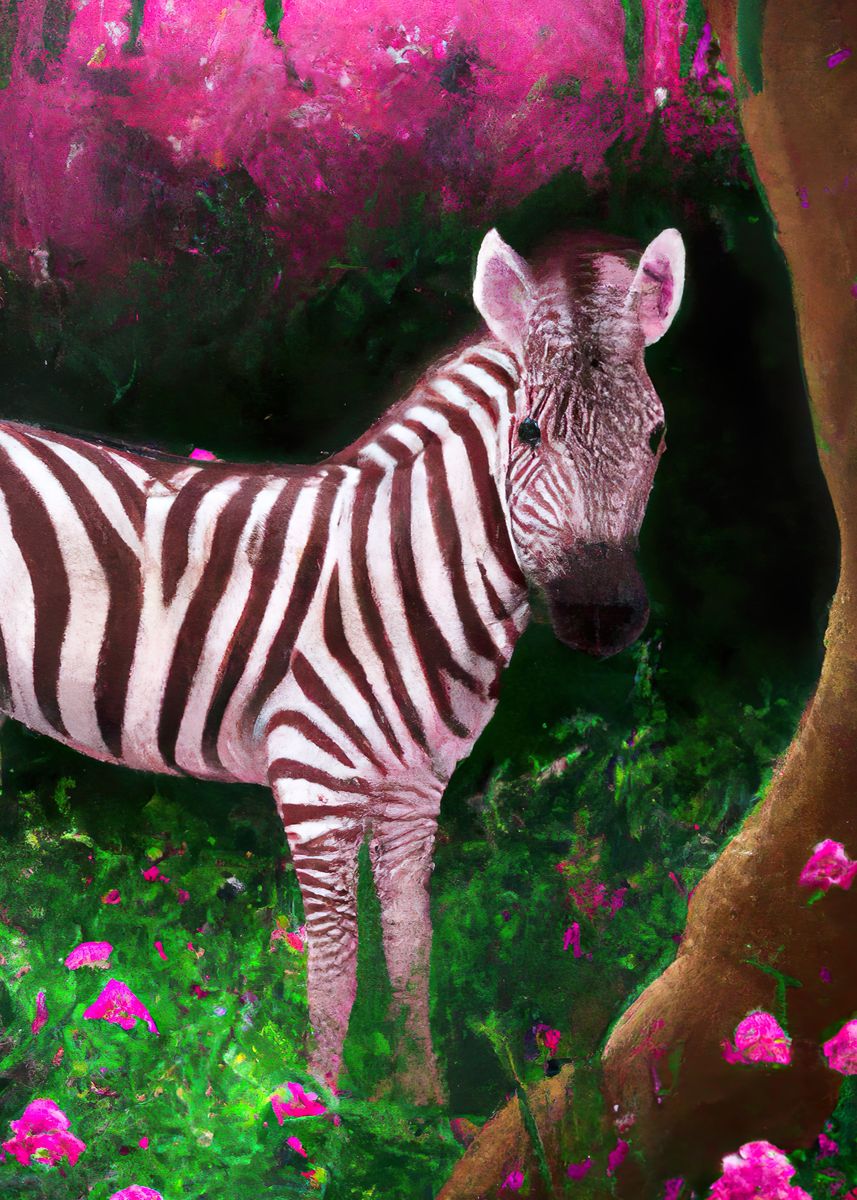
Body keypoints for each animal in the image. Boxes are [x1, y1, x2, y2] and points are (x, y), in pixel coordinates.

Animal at [0, 224, 684, 1104]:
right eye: (528, 432)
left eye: (656, 436)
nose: (602, 616)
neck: (409, 574)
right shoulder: (313, 780)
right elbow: (334, 960)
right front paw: (315, 1114)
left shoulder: (414, 787)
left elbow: (410, 948)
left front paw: (423, 1107)